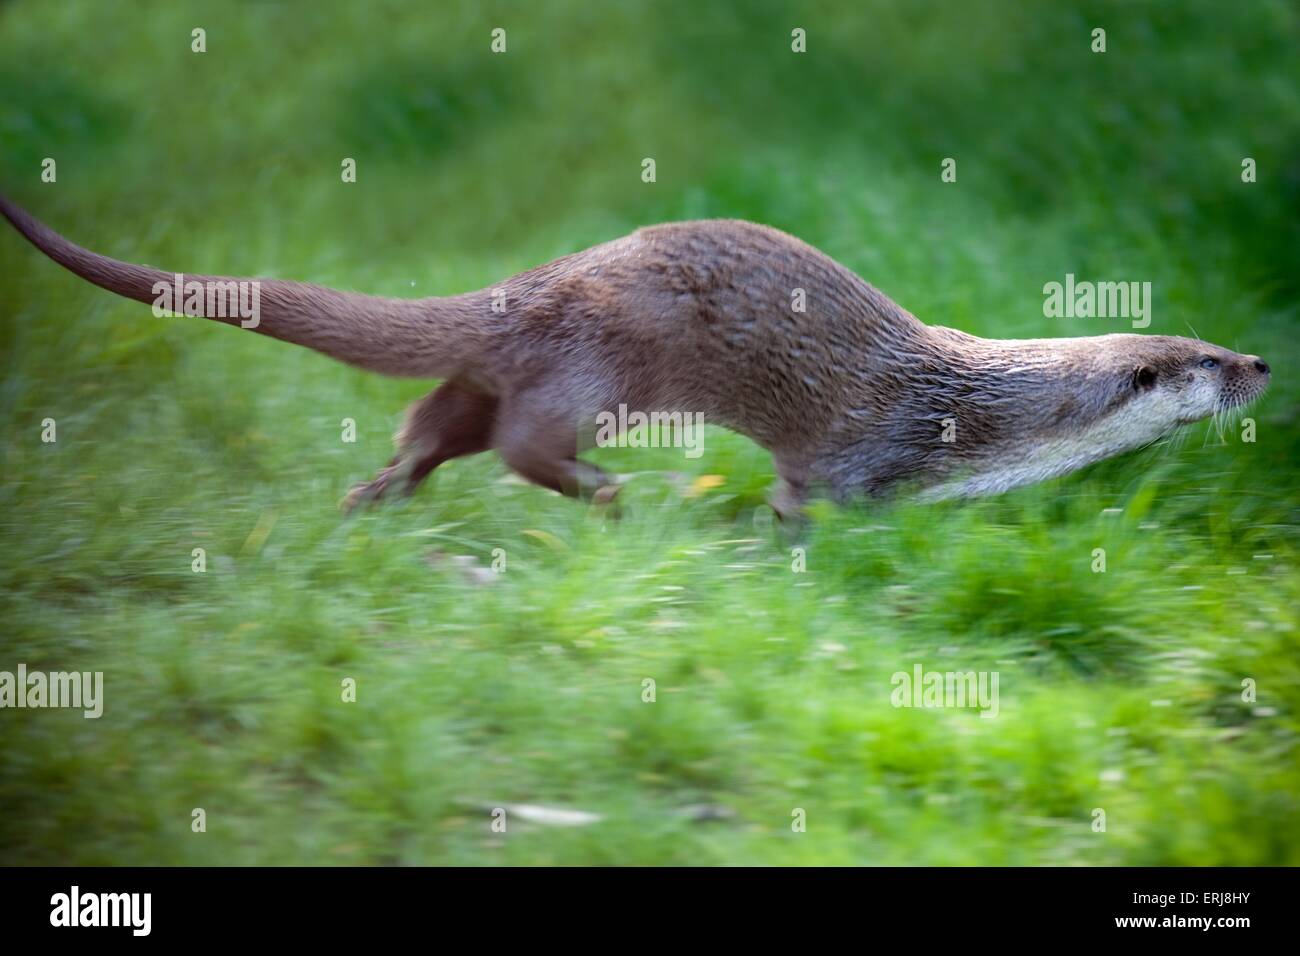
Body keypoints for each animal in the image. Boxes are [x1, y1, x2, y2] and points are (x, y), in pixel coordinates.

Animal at [0, 195, 1270, 515]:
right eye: (1206, 360)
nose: (1263, 364)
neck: (977, 410)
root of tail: (541, 278)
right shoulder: (863, 452)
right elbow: (806, 502)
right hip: (601, 364)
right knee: (525, 441)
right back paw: (604, 492)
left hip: (507, 365)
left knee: (438, 423)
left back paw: (375, 495)